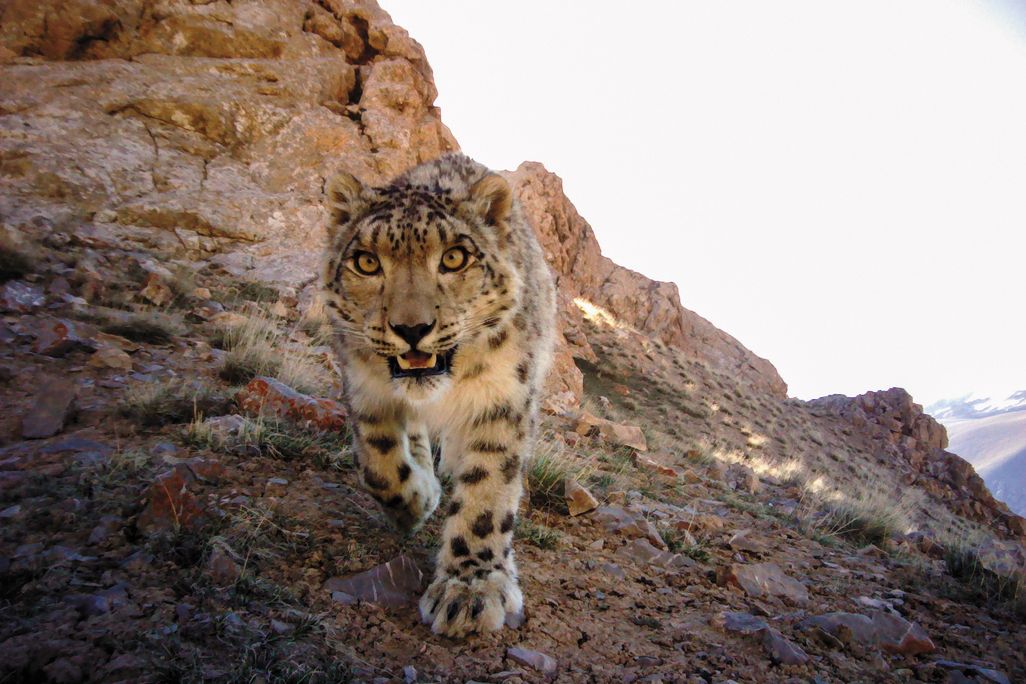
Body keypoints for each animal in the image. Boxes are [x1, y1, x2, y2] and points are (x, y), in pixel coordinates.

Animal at [320, 153, 556, 637]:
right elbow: (378, 464)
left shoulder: (503, 398)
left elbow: (487, 492)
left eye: (454, 257)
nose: (412, 328)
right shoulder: (364, 386)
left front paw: (470, 589)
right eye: (366, 262)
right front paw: (415, 503)